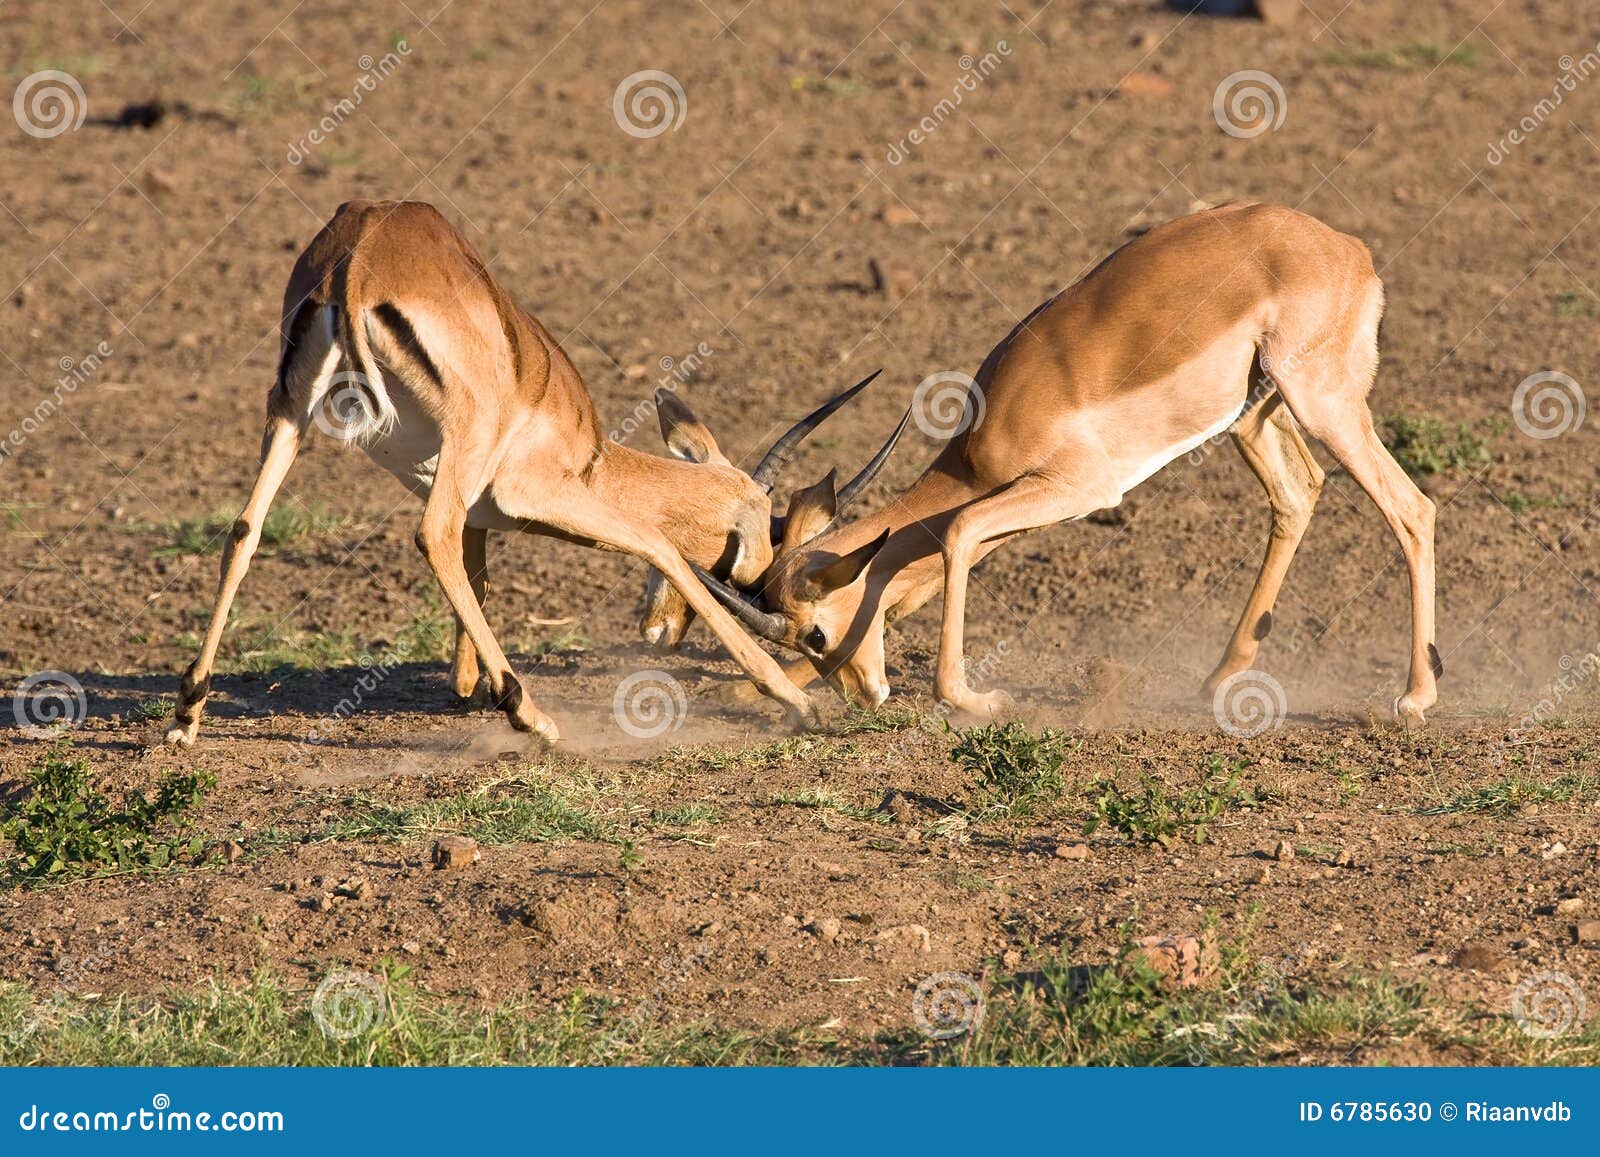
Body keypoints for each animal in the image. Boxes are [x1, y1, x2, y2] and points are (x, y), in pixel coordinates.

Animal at [165, 198, 904, 748]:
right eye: (807, 624)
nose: (659, 631)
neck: (594, 455)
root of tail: (360, 259)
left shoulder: (477, 509)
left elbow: (477, 578)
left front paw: (466, 686)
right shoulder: (547, 495)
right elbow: (658, 543)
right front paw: (796, 703)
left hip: (290, 410)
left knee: (244, 529)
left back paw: (187, 713)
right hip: (461, 430)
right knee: (429, 534)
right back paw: (534, 716)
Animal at [693, 202, 1441, 728]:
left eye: (816, 632)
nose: (864, 696)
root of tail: (1350, 251)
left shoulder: (1079, 488)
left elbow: (955, 533)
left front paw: (976, 699)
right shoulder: (1024, 503)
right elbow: (918, 569)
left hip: (1321, 401)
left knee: (1412, 507)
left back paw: (1414, 697)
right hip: (1252, 414)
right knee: (1298, 493)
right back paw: (1219, 677)